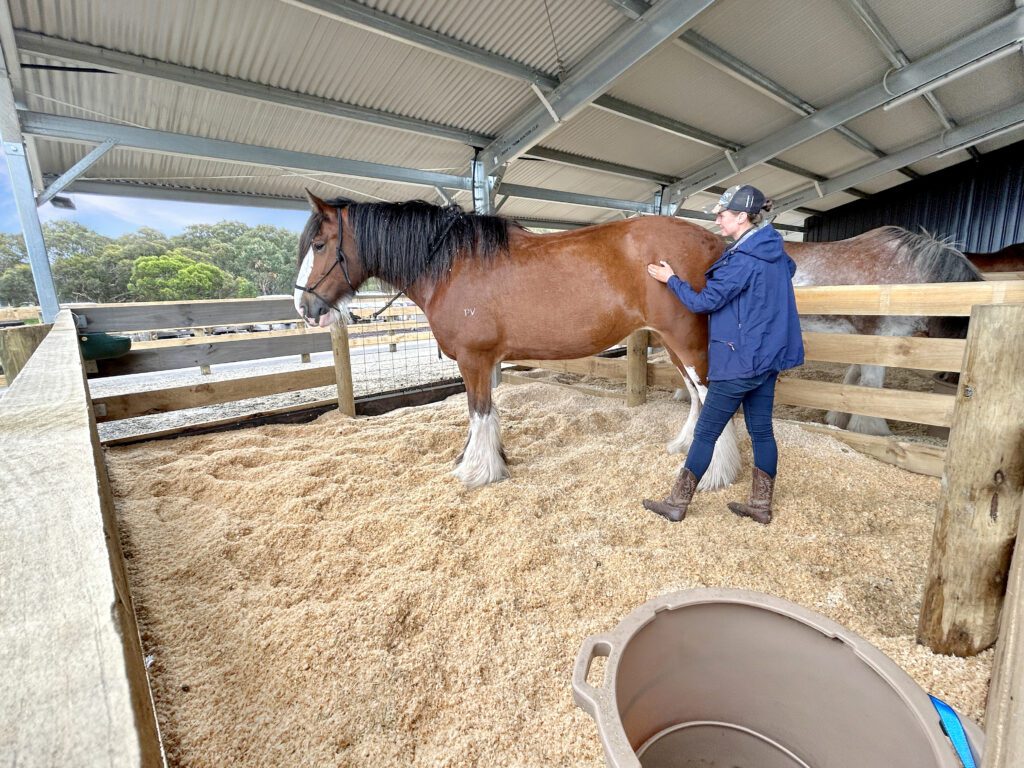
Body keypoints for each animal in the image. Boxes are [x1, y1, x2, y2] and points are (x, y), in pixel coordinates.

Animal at [293, 193, 741, 489]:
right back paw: (684, 448)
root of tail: (717, 243)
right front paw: (487, 459)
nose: (304, 307)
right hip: (673, 345)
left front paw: (476, 472)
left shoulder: (473, 359)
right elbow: (487, 414)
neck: (450, 264)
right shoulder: (487, 361)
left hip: (686, 341)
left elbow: (478, 413)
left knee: (710, 399)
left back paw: (711, 475)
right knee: (698, 398)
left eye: (319, 245)